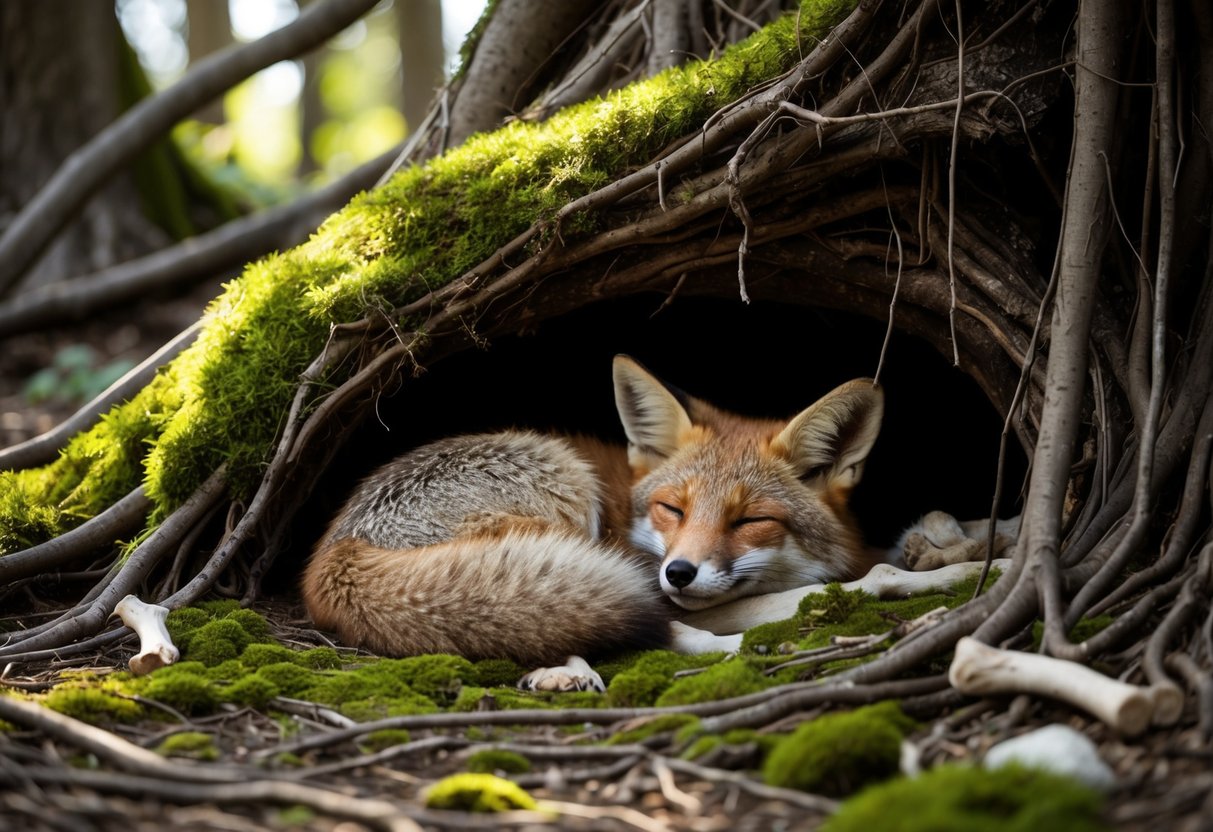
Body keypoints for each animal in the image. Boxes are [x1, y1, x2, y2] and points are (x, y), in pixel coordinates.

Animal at [301, 355, 884, 687]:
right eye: (674, 509)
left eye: (750, 520)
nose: (679, 573)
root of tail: (337, 551)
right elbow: (811, 592)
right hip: (567, 484)